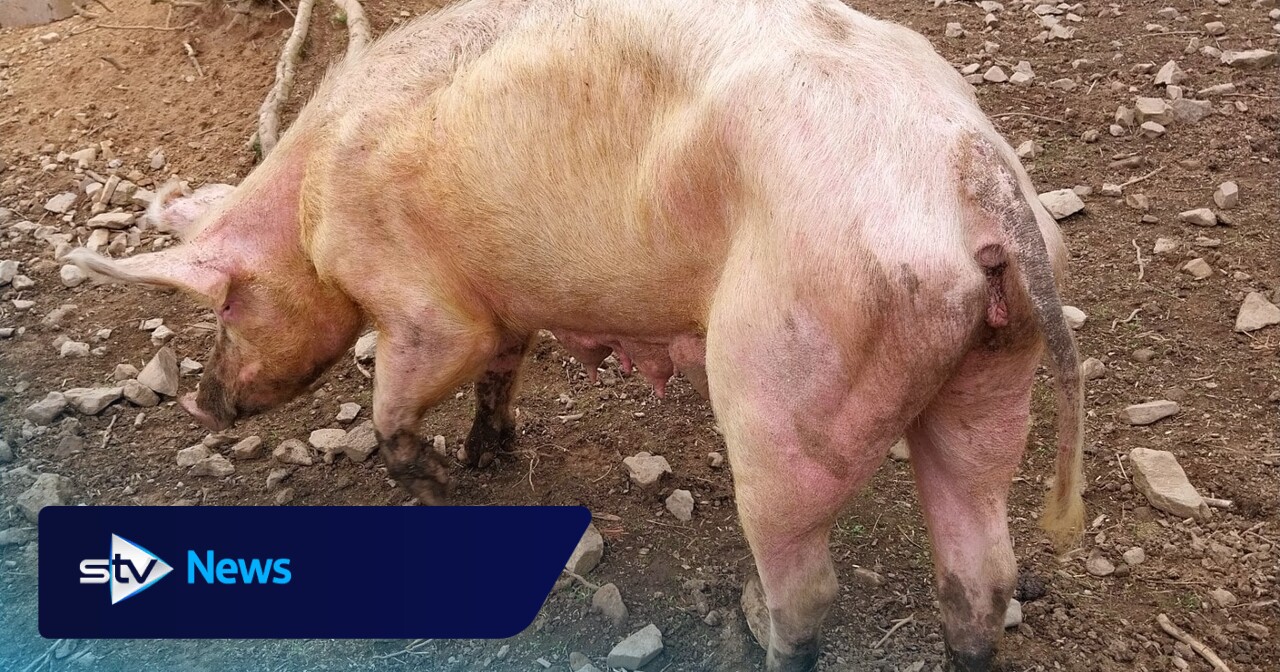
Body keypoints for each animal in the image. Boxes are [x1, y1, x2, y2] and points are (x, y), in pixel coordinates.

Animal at [69, 0, 1084, 669]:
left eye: (225, 306)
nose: (201, 404)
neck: (312, 202)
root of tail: (978, 180)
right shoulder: (508, 304)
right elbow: (502, 370)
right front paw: (485, 457)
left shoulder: (424, 304)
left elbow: (408, 393)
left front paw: (440, 484)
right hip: (994, 374)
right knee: (981, 571)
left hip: (790, 382)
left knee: (811, 588)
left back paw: (758, 631)